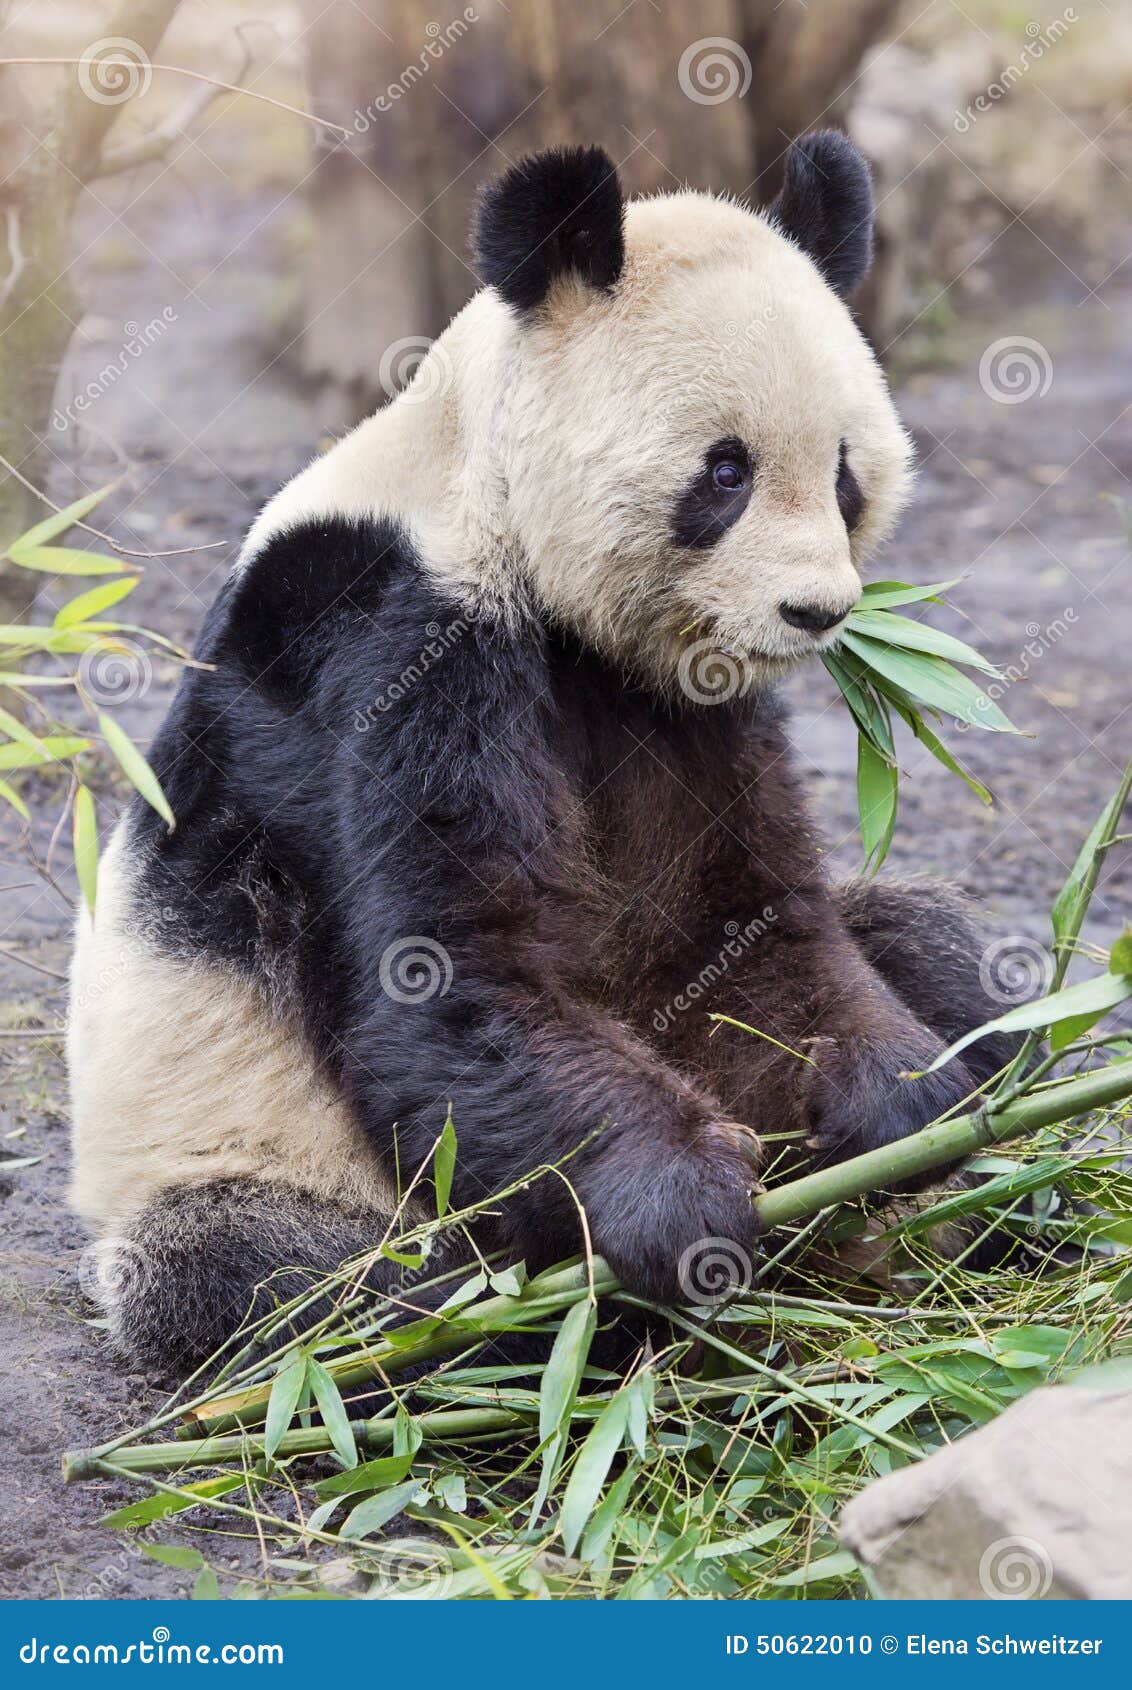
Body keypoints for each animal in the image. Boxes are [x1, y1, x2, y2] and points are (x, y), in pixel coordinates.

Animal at [68, 135, 1016, 1371]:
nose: (817, 612)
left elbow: (733, 929)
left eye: (846, 471)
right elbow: (454, 971)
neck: (480, 498)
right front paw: (683, 1203)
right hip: (229, 1163)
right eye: (725, 472)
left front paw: (895, 1105)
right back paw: (546, 1319)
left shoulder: (674, 708)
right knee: (309, 1295)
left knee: (937, 941)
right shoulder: (383, 651)